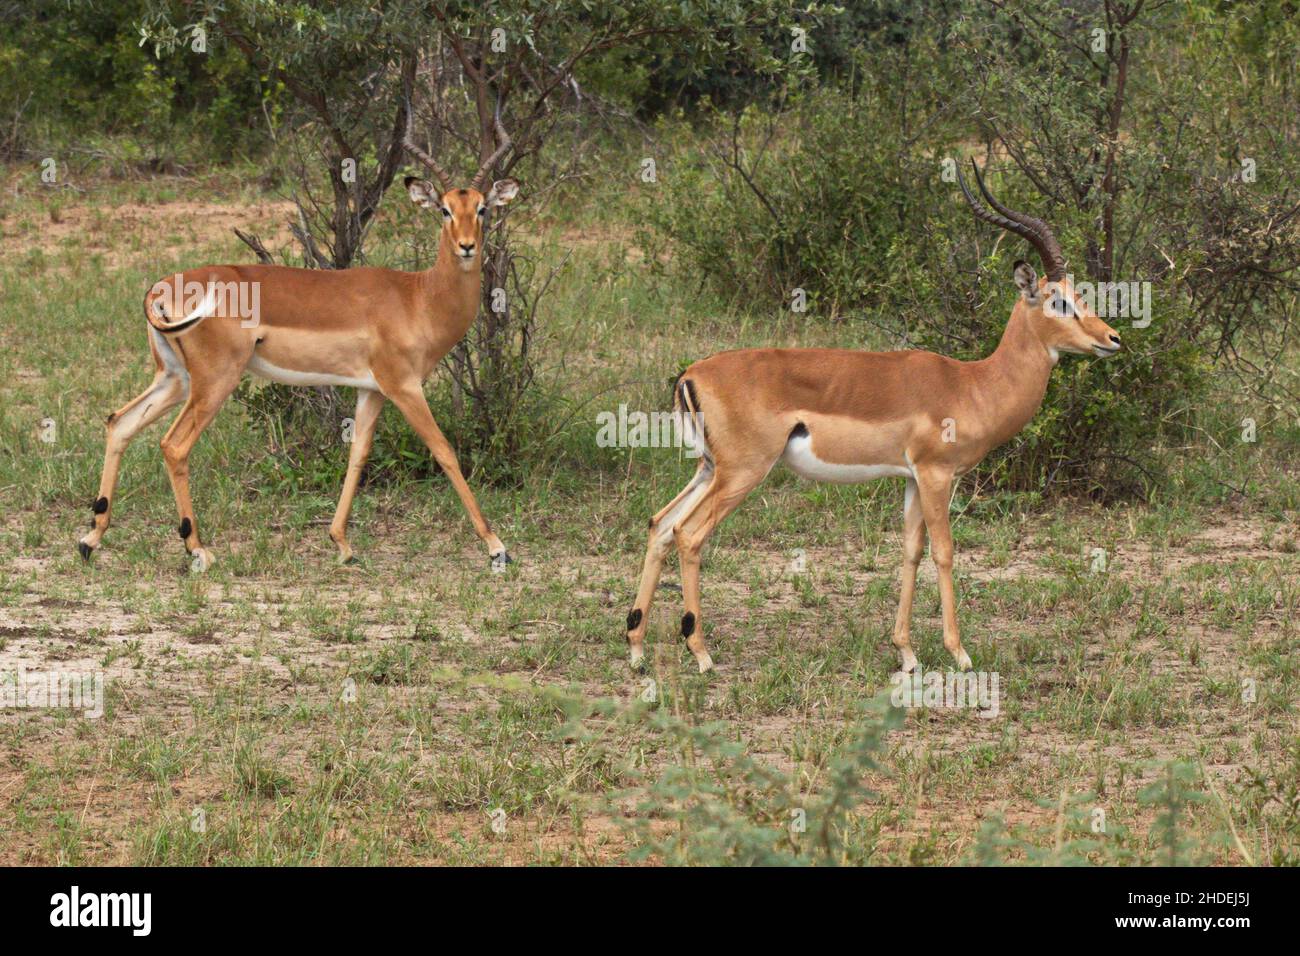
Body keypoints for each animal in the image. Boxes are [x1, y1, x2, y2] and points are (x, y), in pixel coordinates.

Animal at [77, 120, 518, 572]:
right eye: (444, 209)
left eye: (482, 208)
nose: (467, 246)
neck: (418, 297)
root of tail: (161, 288)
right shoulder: (404, 386)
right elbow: (444, 451)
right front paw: (496, 546)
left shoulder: (372, 390)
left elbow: (358, 454)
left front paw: (341, 543)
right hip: (214, 381)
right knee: (174, 445)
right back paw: (197, 549)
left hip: (174, 377)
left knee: (119, 422)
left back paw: (90, 540)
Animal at [626, 160, 1123, 674]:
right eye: (1058, 300)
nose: (1113, 338)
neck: (973, 384)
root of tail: (692, 374)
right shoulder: (937, 475)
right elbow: (945, 552)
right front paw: (959, 653)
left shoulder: (911, 479)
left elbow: (910, 551)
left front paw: (906, 652)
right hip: (742, 472)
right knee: (688, 534)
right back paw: (701, 653)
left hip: (709, 468)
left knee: (660, 524)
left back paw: (637, 649)